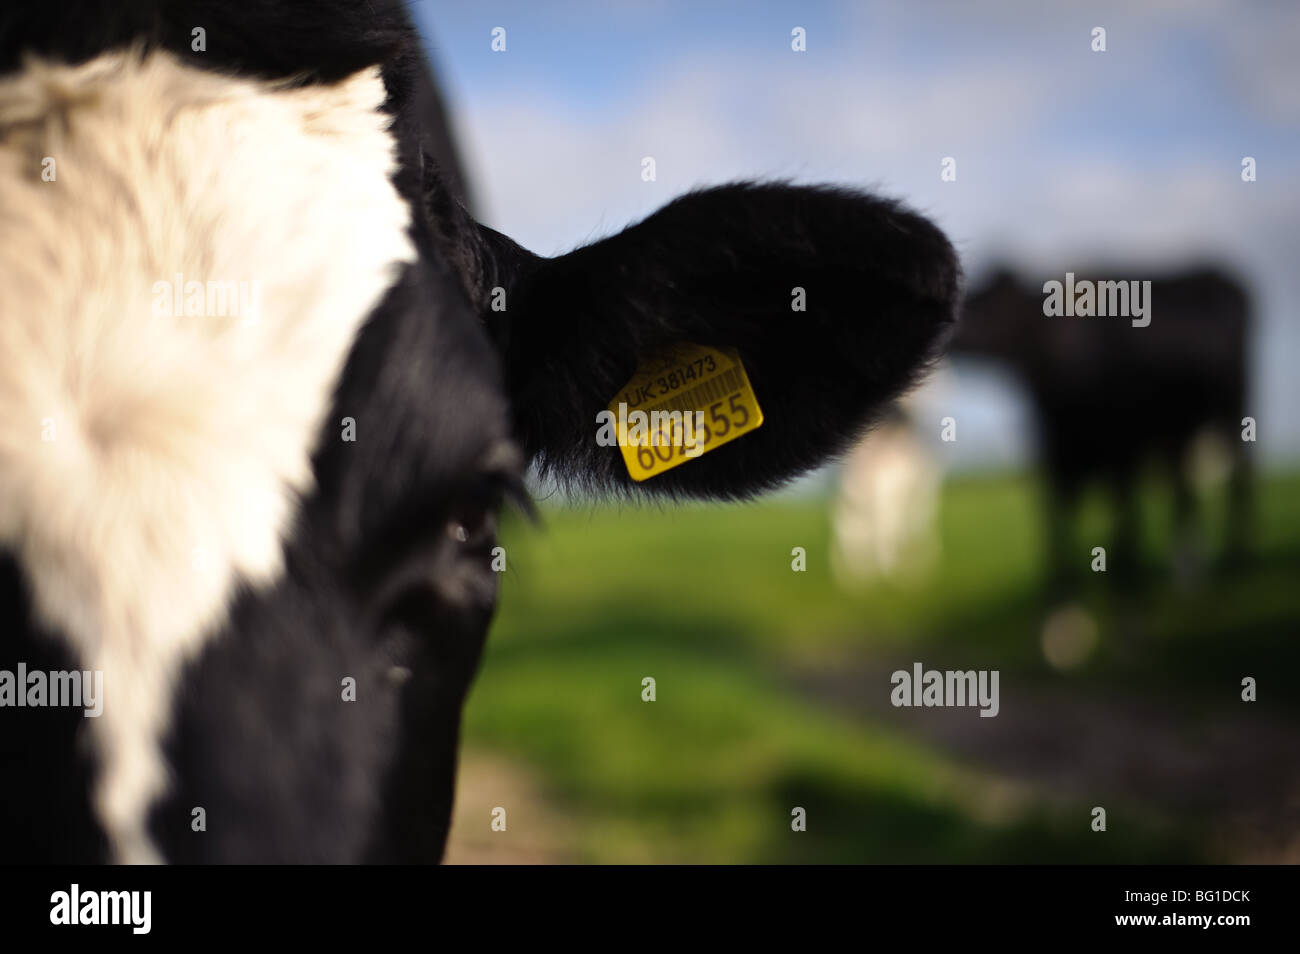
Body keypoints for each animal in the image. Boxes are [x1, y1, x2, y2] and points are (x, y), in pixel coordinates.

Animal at [953, 265, 1251, 588]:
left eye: (991, 301)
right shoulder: (1056, 455)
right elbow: (1057, 516)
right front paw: (1063, 579)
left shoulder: (1119, 448)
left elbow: (1120, 509)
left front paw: (1123, 570)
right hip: (1183, 429)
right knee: (1184, 487)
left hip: (1233, 409)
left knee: (1237, 476)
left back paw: (1233, 557)